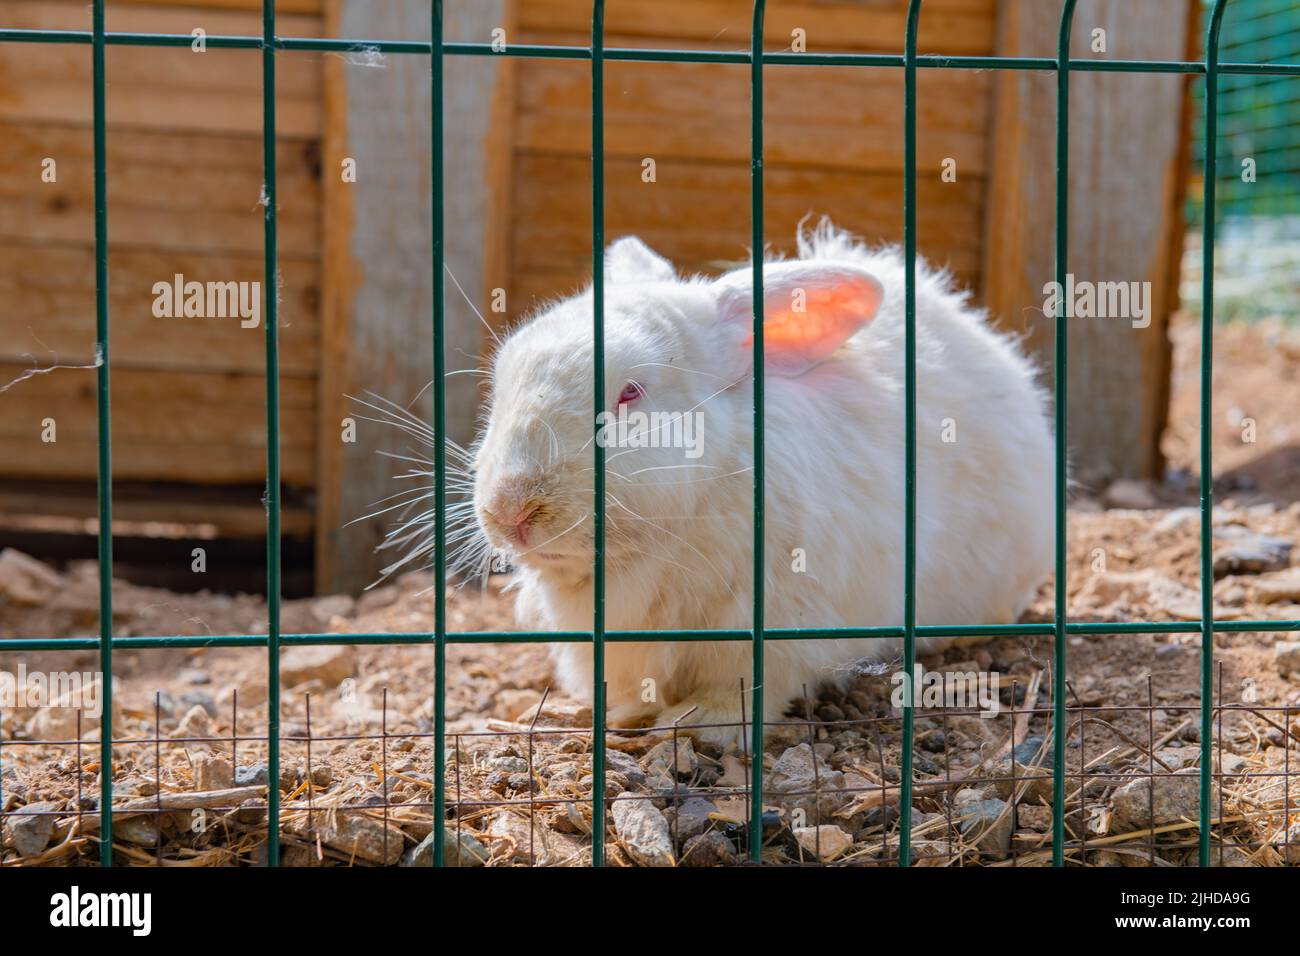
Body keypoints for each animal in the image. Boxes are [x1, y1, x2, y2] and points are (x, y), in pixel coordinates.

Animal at [469, 218, 1054, 745]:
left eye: (631, 393)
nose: (511, 509)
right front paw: (631, 714)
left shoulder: (775, 632)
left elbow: (747, 689)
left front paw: (701, 725)